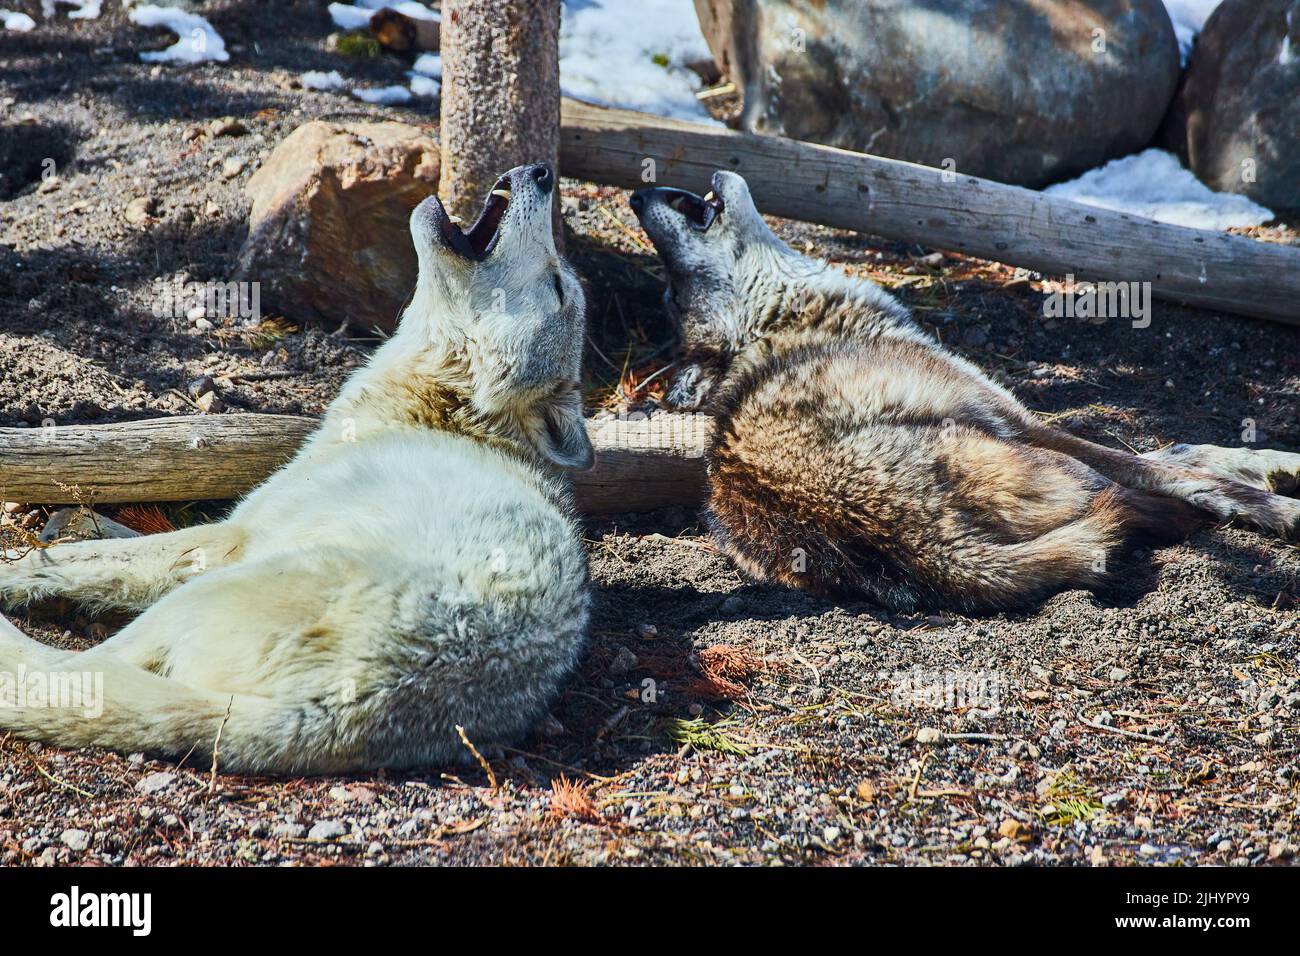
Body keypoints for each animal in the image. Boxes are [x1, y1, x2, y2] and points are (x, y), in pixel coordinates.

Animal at [0, 163, 594, 773]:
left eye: (557, 287)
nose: (542, 173)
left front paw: (21, 570)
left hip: (216, 587)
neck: (435, 415)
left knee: (77, 668)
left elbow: (86, 560)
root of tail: (336, 715)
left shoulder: (232, 536)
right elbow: (105, 542)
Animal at [630, 171, 1300, 612]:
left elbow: (1187, 450)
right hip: (1047, 461)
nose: (638, 195)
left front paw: (1272, 463)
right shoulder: (1025, 422)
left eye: (668, 288)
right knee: (1127, 502)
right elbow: (1190, 471)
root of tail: (927, 550)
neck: (797, 317)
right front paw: (1277, 499)